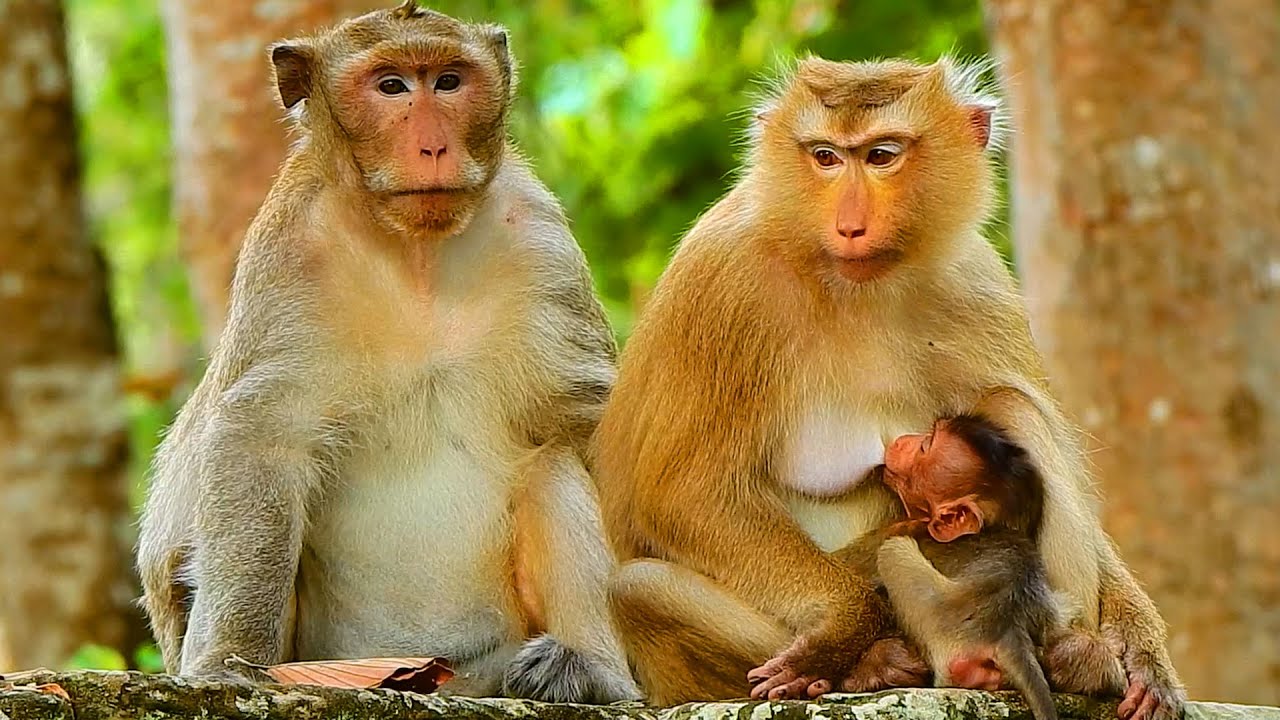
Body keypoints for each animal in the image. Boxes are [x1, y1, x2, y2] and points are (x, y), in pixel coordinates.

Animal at [135, 1, 639, 704]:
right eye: (392, 86)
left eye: (449, 82)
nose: (432, 145)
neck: (416, 253)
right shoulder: (289, 255)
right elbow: (261, 436)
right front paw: (229, 663)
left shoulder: (543, 243)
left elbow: (591, 420)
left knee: (554, 464)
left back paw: (591, 673)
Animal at [593, 55, 1184, 720]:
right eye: (826, 156)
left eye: (881, 155)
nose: (851, 225)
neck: (853, 283)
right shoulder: (722, 283)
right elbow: (685, 493)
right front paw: (843, 629)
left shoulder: (977, 282)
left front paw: (1144, 648)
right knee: (641, 588)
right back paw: (873, 664)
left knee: (1012, 405)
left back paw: (1071, 653)